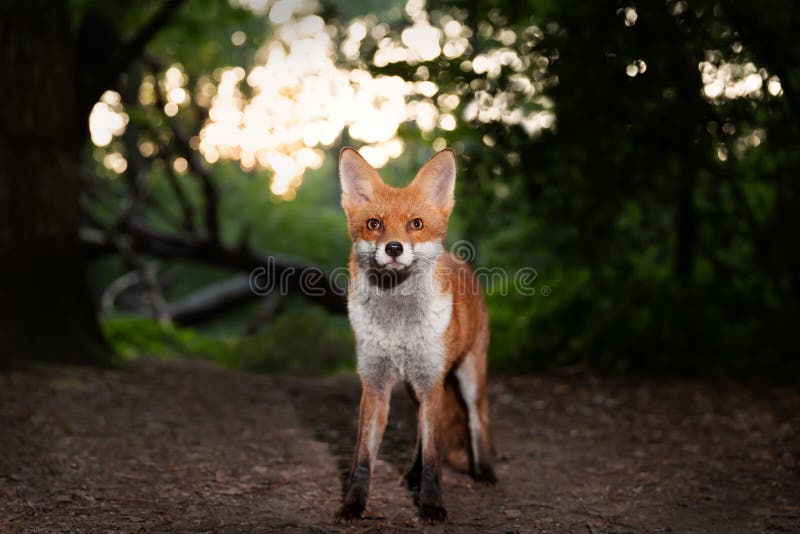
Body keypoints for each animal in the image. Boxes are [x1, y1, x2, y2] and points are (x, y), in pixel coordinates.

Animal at [336, 147, 495, 523]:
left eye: (416, 224)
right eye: (374, 224)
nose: (394, 248)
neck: (399, 327)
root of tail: (459, 260)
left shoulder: (430, 380)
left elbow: (435, 461)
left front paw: (432, 506)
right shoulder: (376, 384)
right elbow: (363, 459)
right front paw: (353, 504)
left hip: (467, 374)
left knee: (477, 418)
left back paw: (484, 470)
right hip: (416, 388)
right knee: (423, 436)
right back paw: (411, 475)